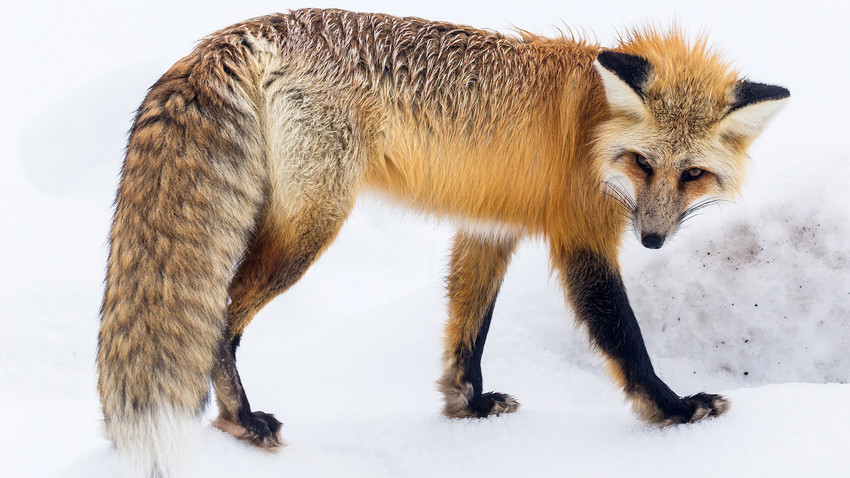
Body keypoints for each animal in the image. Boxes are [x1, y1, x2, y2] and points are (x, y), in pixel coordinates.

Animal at [97, 7, 789, 477]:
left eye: (692, 174)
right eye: (643, 164)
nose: (650, 239)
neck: (592, 127)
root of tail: (243, 30)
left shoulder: (490, 228)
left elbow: (467, 332)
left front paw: (468, 408)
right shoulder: (582, 240)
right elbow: (625, 340)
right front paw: (673, 414)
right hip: (312, 229)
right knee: (220, 320)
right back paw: (240, 421)